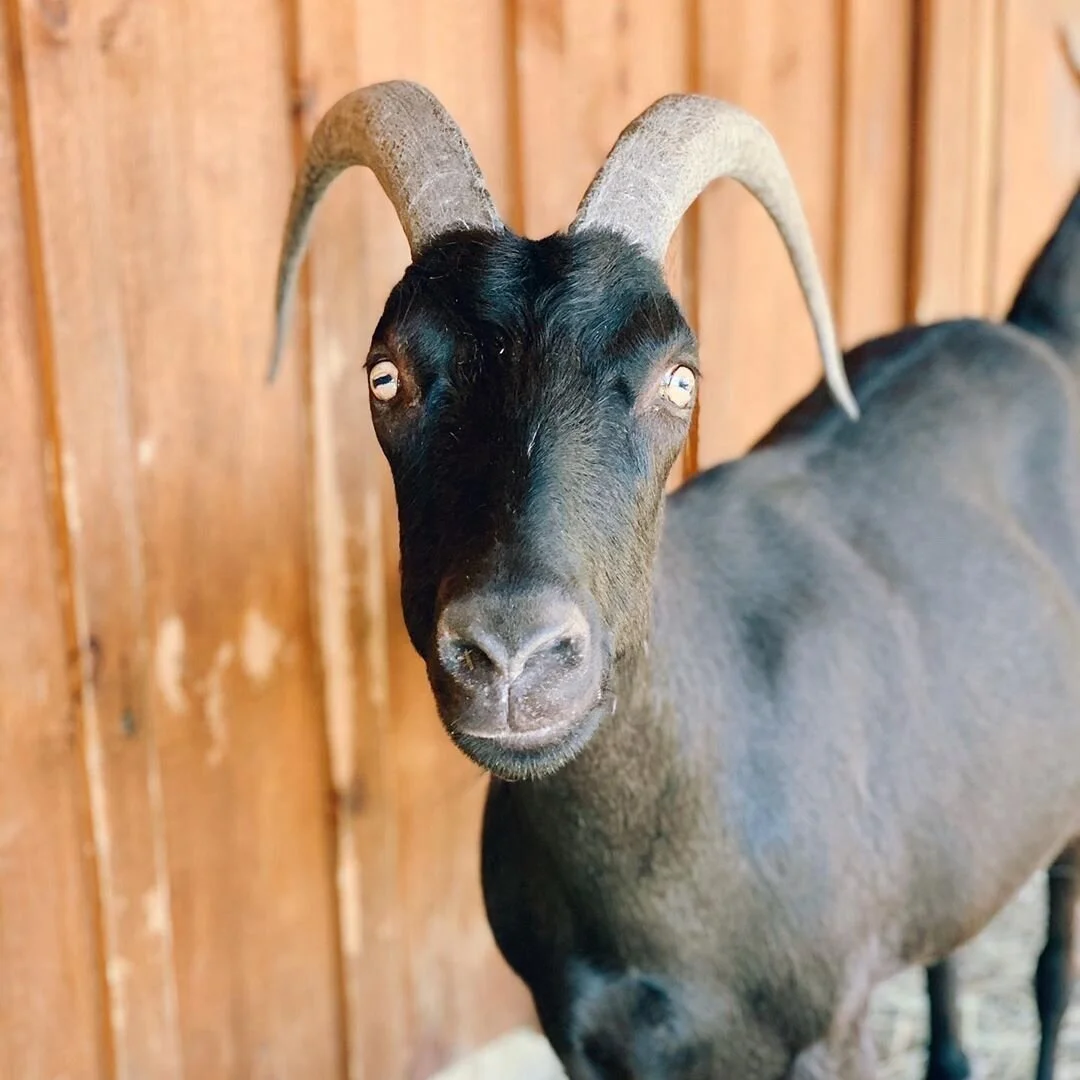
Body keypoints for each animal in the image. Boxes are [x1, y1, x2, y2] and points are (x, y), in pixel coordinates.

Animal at [271, 81, 1080, 1079]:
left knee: (1051, 964)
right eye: (386, 376)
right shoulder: (579, 1030)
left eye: (681, 380)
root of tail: (1041, 340)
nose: (512, 656)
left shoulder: (831, 1028)